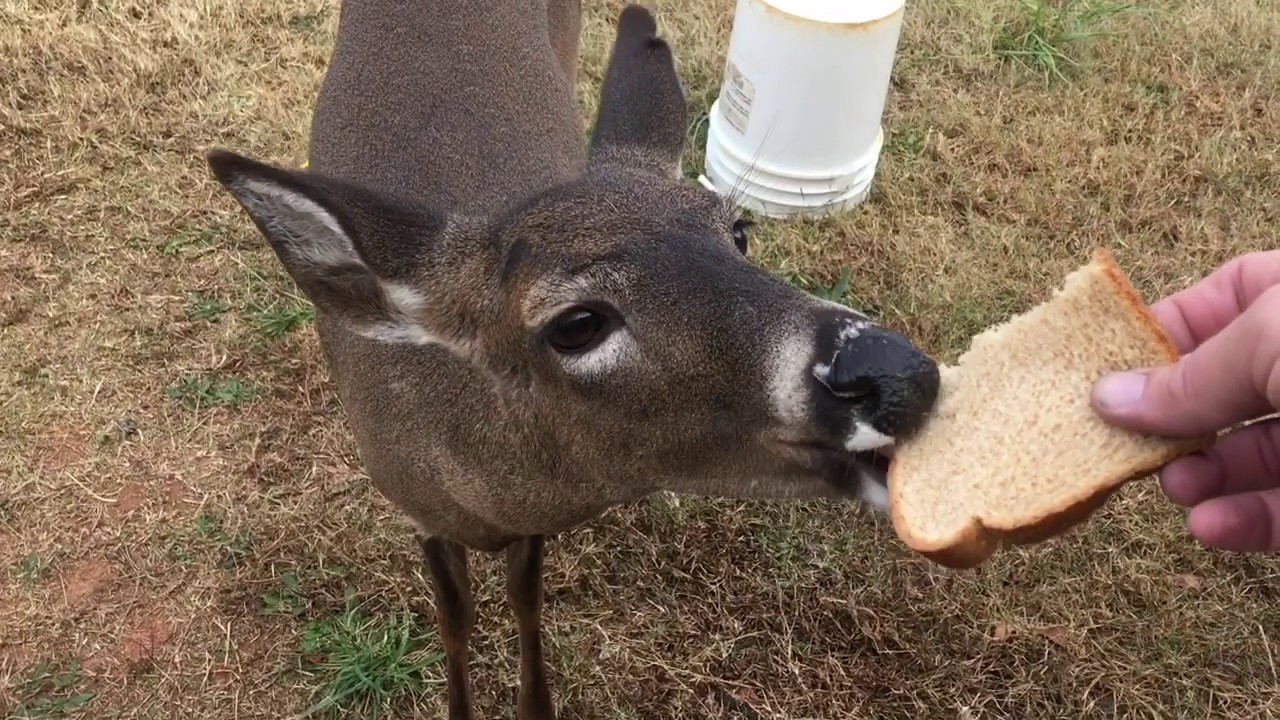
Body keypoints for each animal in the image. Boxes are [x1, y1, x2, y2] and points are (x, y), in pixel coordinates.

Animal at [203, 1, 940, 717]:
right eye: (578, 324)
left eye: (737, 231)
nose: (890, 371)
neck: (478, 489)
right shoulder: (415, 507)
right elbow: (454, 619)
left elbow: (525, 598)